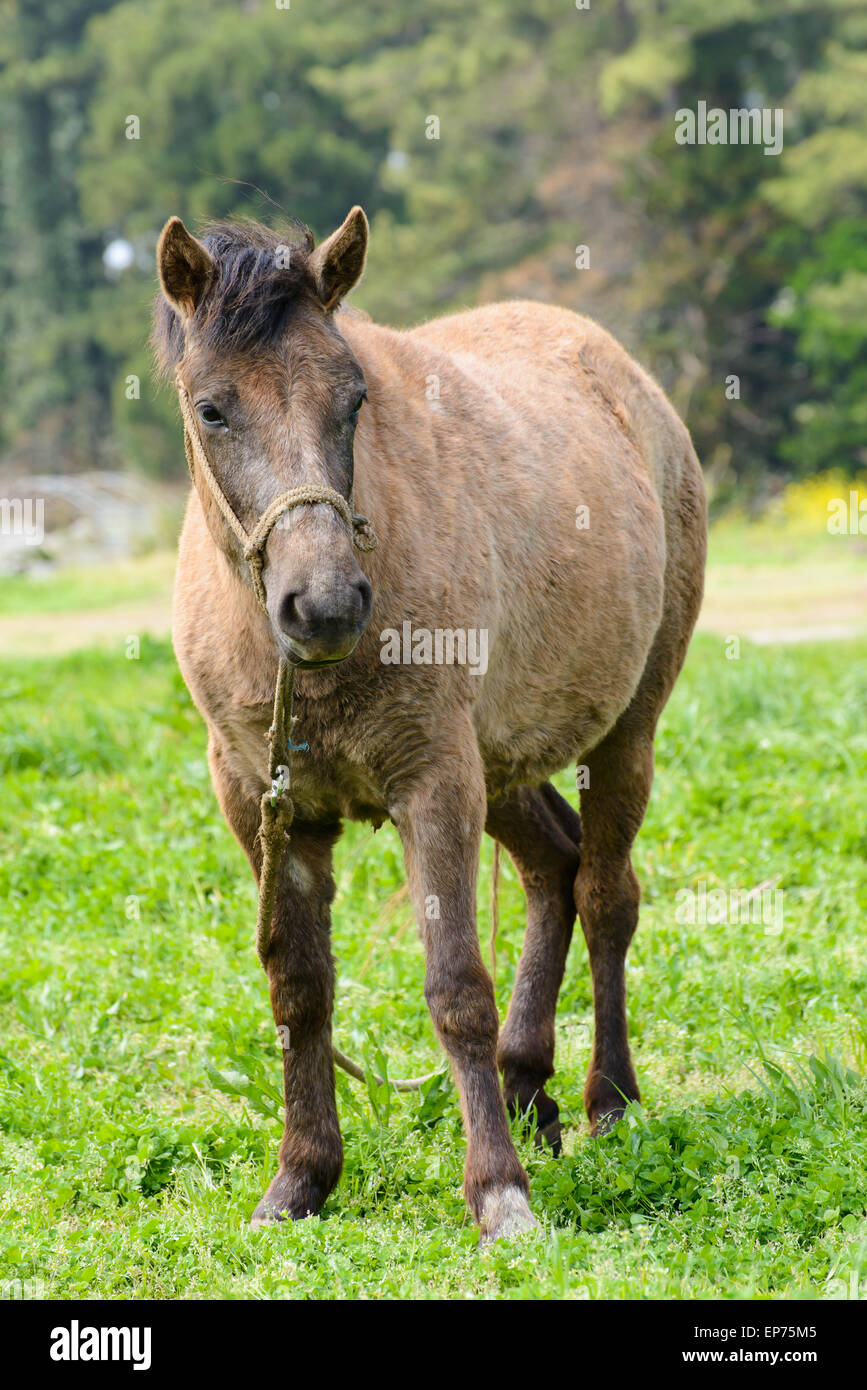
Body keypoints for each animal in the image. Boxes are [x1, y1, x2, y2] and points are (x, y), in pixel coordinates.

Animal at [152, 206, 706, 1243]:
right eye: (212, 408)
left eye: (352, 398)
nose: (323, 605)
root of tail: (627, 377)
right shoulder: (263, 804)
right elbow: (300, 990)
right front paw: (300, 1179)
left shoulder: (432, 782)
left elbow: (454, 988)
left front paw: (497, 1196)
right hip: (504, 764)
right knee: (552, 868)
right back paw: (528, 1089)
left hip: (622, 735)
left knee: (606, 893)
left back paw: (607, 1100)